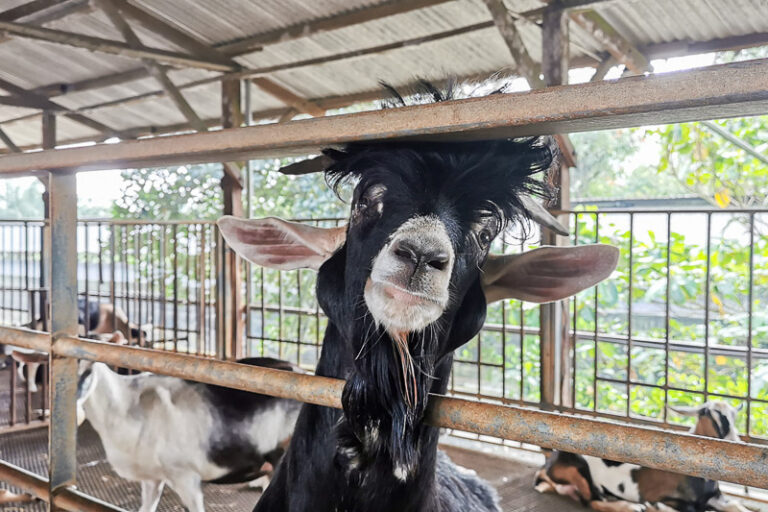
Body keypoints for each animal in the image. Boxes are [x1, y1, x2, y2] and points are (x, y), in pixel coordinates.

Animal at [534, 401, 750, 512]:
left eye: (734, 416)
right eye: (713, 415)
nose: (735, 441)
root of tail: (547, 465)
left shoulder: (717, 498)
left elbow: (736, 506)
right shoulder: (664, 498)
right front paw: (652, 507)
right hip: (579, 470)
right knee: (592, 501)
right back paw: (633, 507)